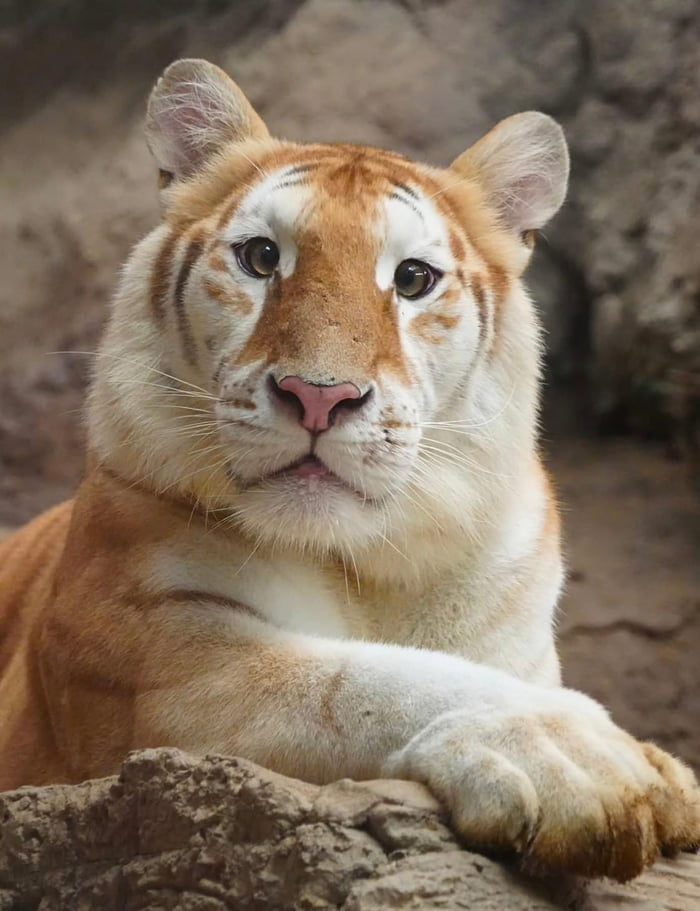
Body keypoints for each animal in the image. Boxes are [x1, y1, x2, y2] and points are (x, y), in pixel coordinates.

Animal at [0, 58, 697, 882]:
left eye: (414, 278)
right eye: (262, 258)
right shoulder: (149, 658)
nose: (319, 396)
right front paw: (585, 761)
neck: (373, 564)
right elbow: (362, 678)